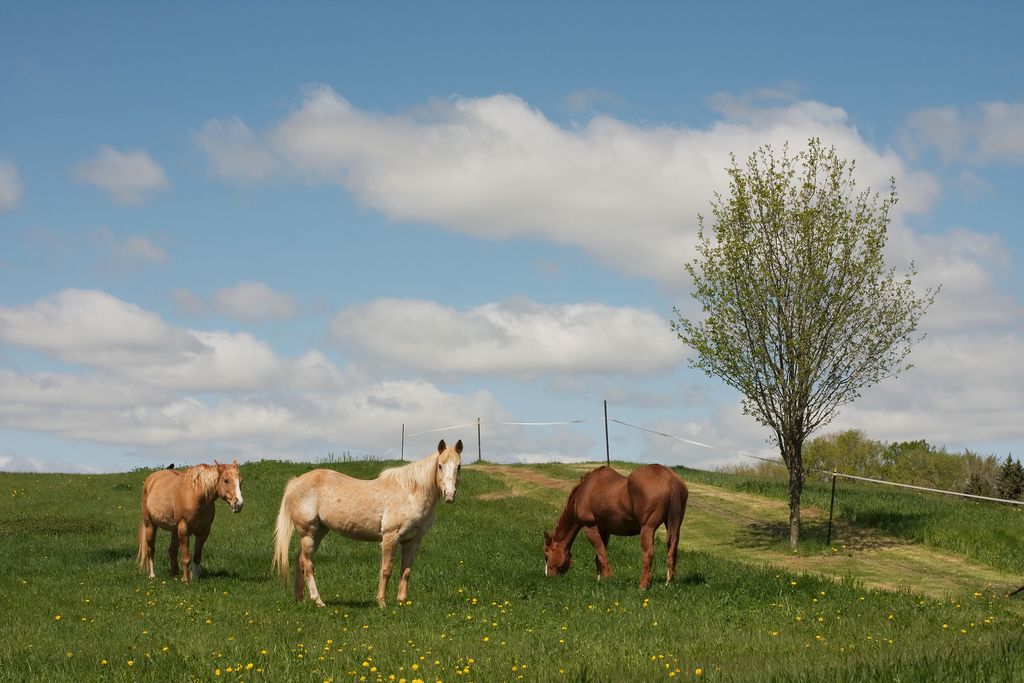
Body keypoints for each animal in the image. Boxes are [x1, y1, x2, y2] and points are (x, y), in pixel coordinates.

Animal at [272, 439, 463, 608]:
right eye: (440, 466)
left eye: (459, 466)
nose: (449, 495)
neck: (410, 492)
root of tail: (295, 482)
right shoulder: (390, 538)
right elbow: (386, 570)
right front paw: (382, 602)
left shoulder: (412, 541)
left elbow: (406, 571)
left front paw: (402, 602)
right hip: (308, 532)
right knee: (308, 564)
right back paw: (318, 601)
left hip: (319, 531)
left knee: (300, 560)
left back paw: (300, 599)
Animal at [542, 464, 687, 589]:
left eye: (546, 555)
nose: (547, 577)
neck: (585, 491)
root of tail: (669, 479)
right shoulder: (604, 530)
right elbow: (599, 555)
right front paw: (599, 579)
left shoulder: (590, 527)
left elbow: (601, 553)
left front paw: (607, 578)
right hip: (674, 526)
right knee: (672, 551)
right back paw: (669, 583)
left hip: (648, 528)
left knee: (648, 554)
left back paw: (642, 585)